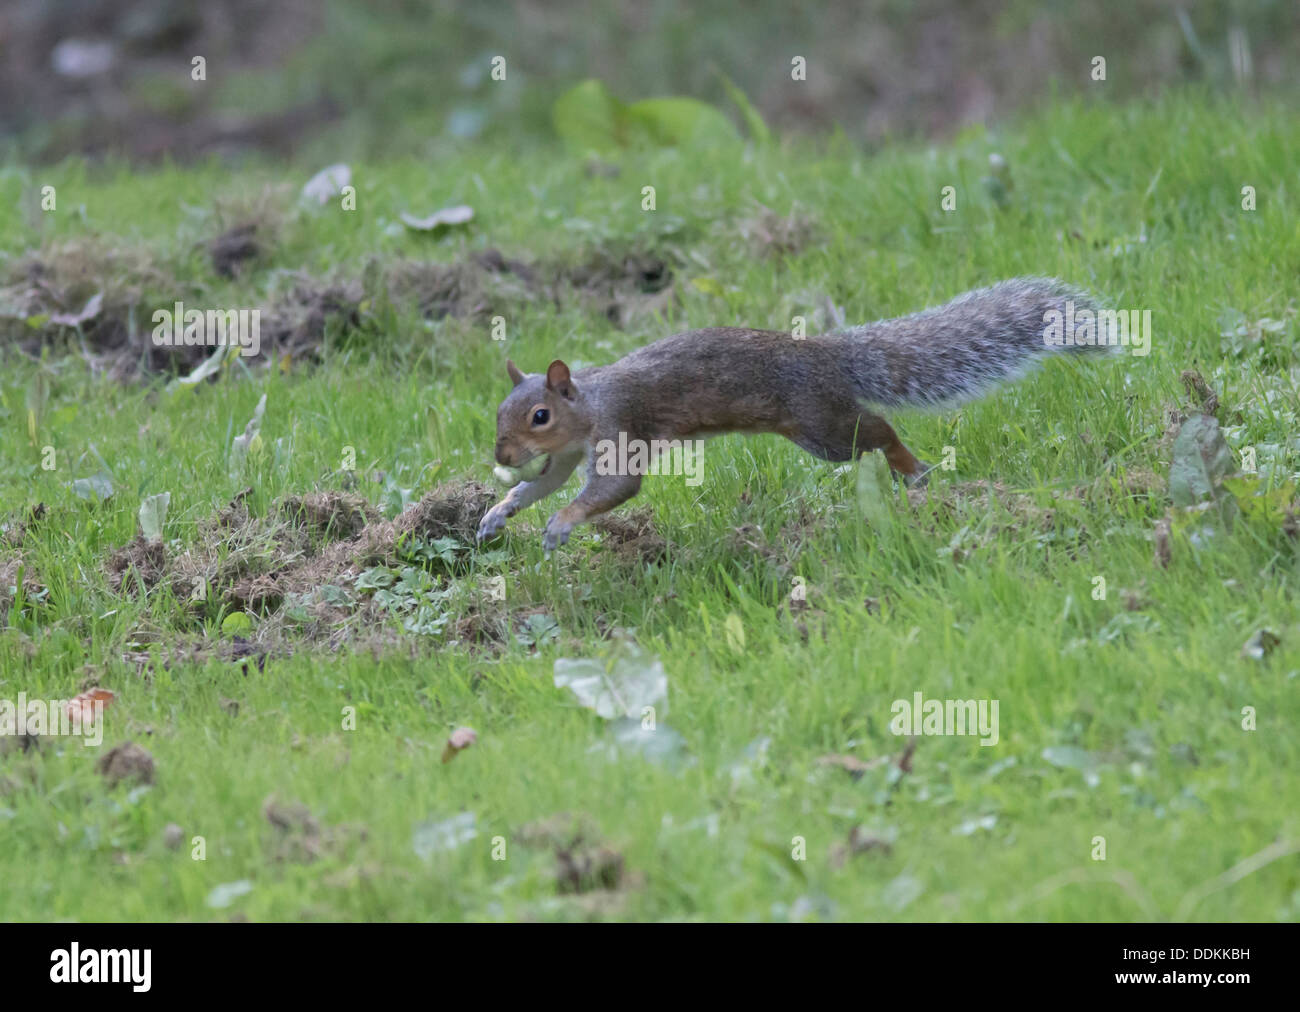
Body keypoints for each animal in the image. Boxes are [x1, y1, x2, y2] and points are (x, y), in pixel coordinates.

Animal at [477, 276, 1104, 550]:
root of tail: (826, 354)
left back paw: (915, 470)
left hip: (820, 425)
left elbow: (612, 488)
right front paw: (500, 510)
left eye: (539, 415)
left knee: (879, 431)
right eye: (501, 412)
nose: (502, 453)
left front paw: (562, 522)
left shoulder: (618, 429)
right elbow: (543, 484)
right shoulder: (563, 458)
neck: (586, 409)